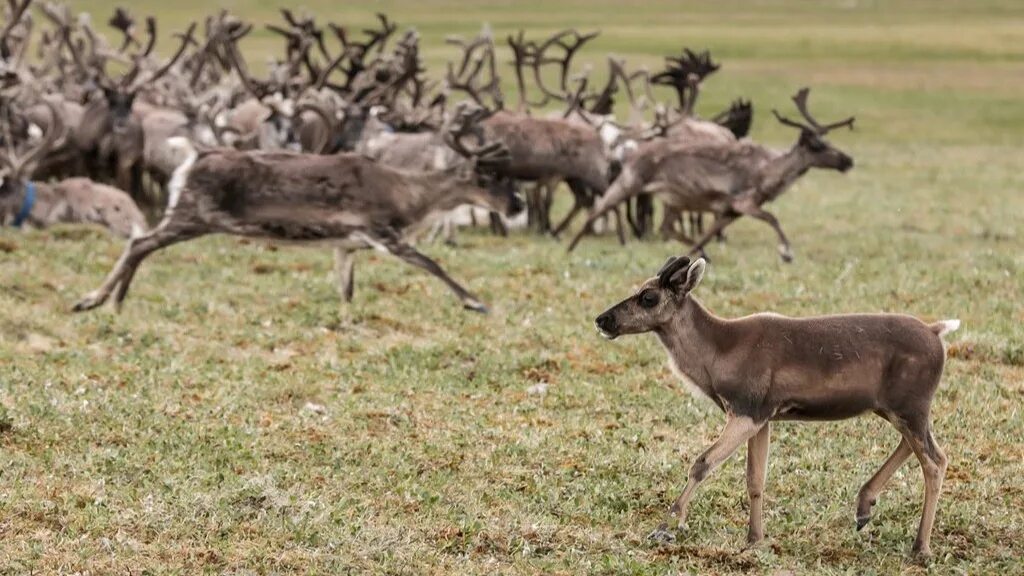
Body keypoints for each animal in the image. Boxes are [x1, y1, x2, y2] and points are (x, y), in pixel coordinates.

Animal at [593, 254, 958, 557]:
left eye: (648, 297)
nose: (602, 320)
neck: (718, 352)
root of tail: (936, 332)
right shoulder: (763, 417)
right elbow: (755, 479)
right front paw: (754, 538)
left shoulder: (746, 409)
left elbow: (701, 463)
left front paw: (666, 527)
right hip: (897, 408)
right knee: (915, 447)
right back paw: (863, 509)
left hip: (910, 407)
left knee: (935, 460)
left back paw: (920, 547)